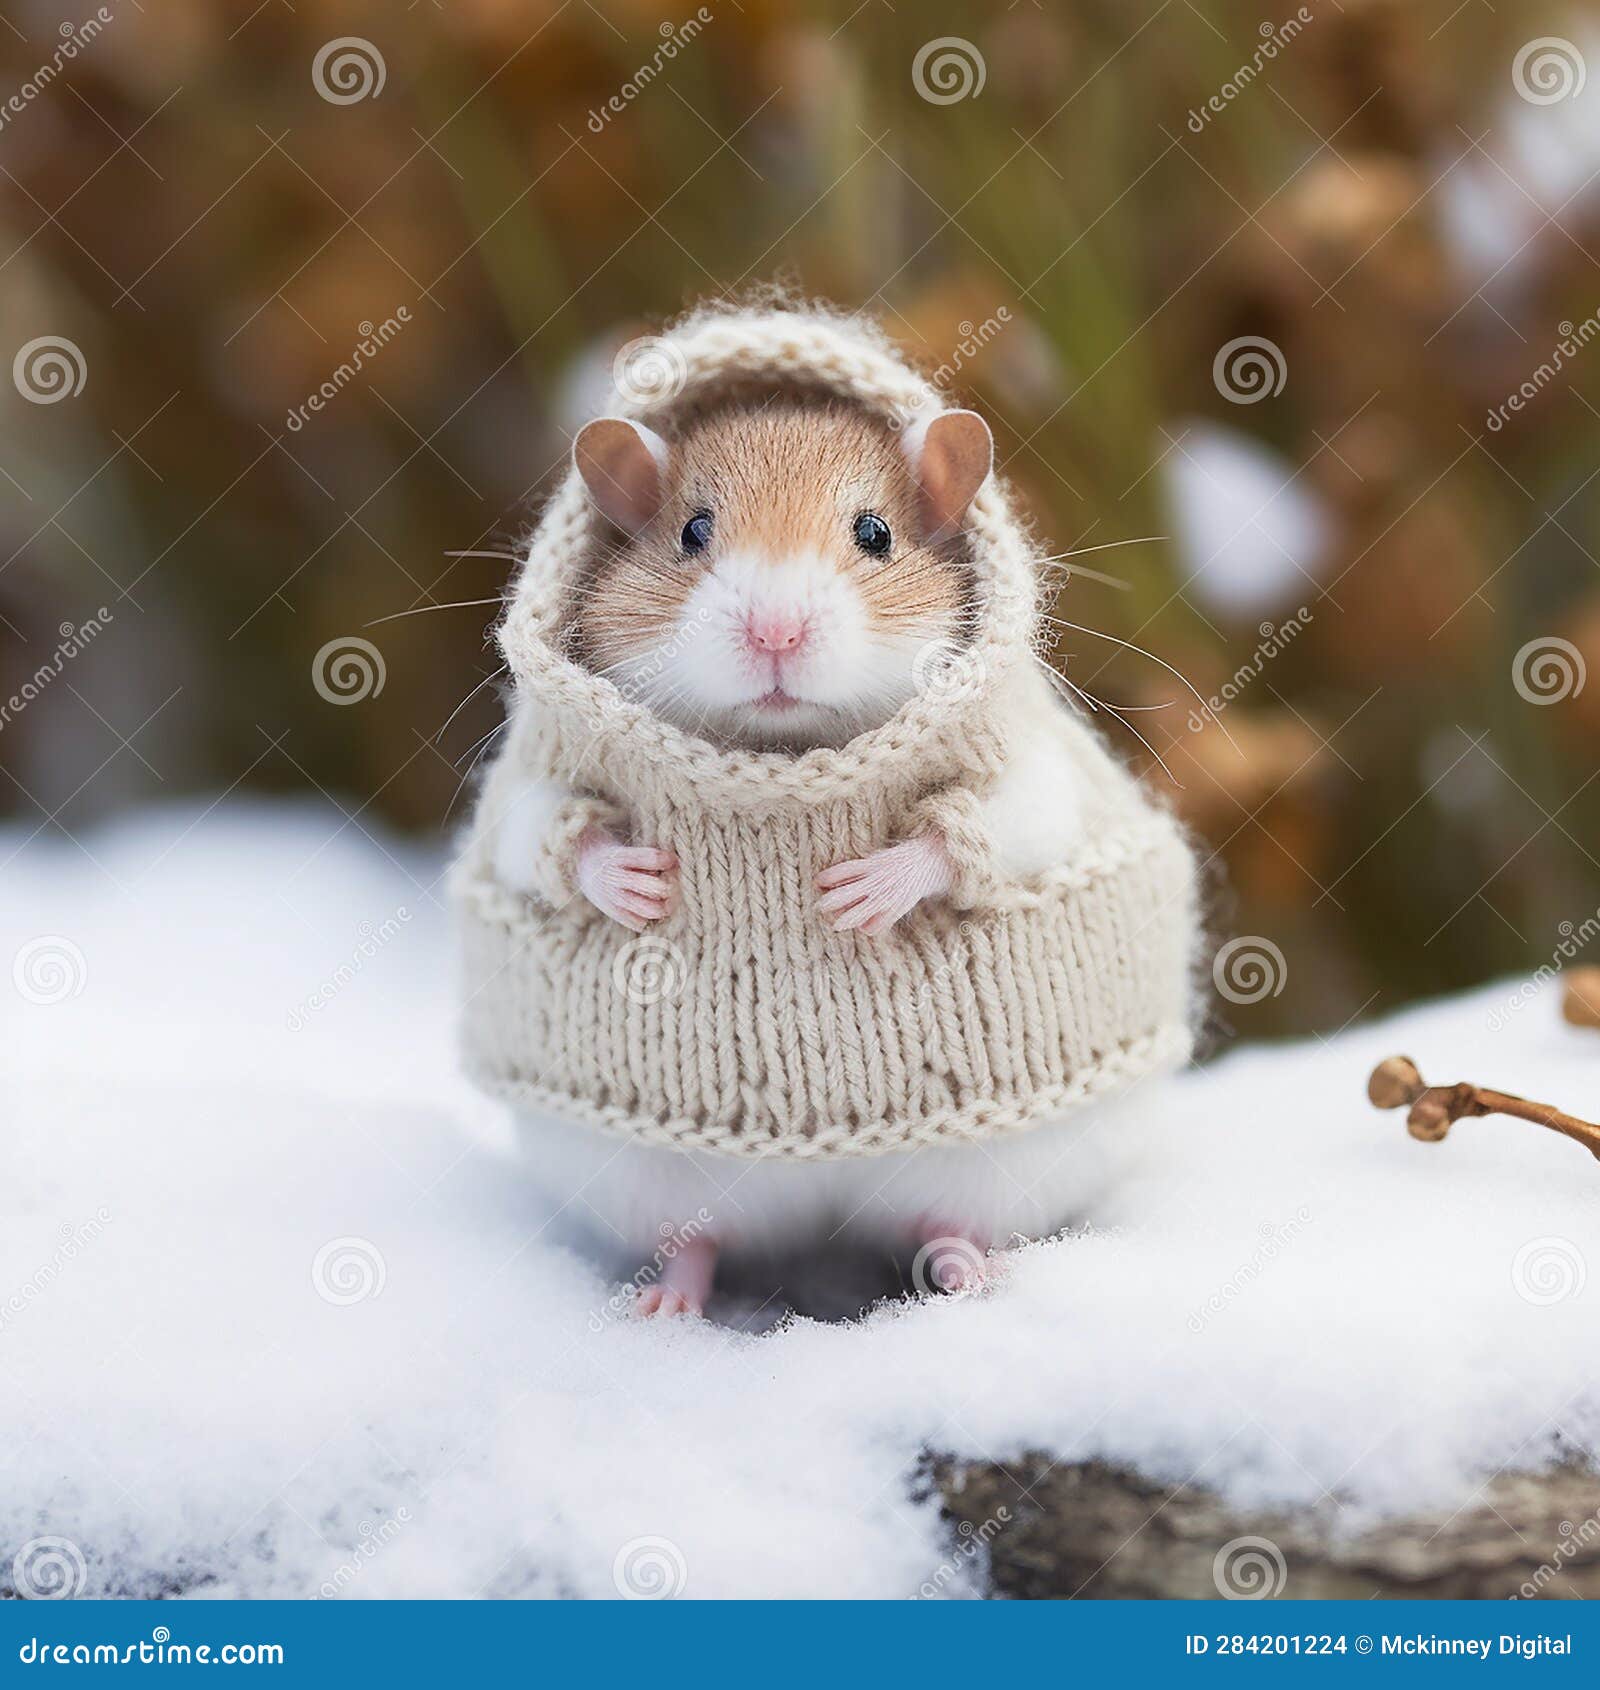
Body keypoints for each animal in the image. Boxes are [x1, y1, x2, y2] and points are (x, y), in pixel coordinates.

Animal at [491, 398, 1090, 1314]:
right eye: (693, 531)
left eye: (875, 533)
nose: (775, 632)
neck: (784, 745)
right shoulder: (525, 791)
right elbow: (546, 834)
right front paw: (639, 885)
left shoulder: (1034, 776)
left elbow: (978, 826)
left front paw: (852, 895)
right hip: (654, 1175)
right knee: (698, 1241)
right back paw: (667, 1307)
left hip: (994, 1162)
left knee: (946, 1225)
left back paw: (972, 1281)